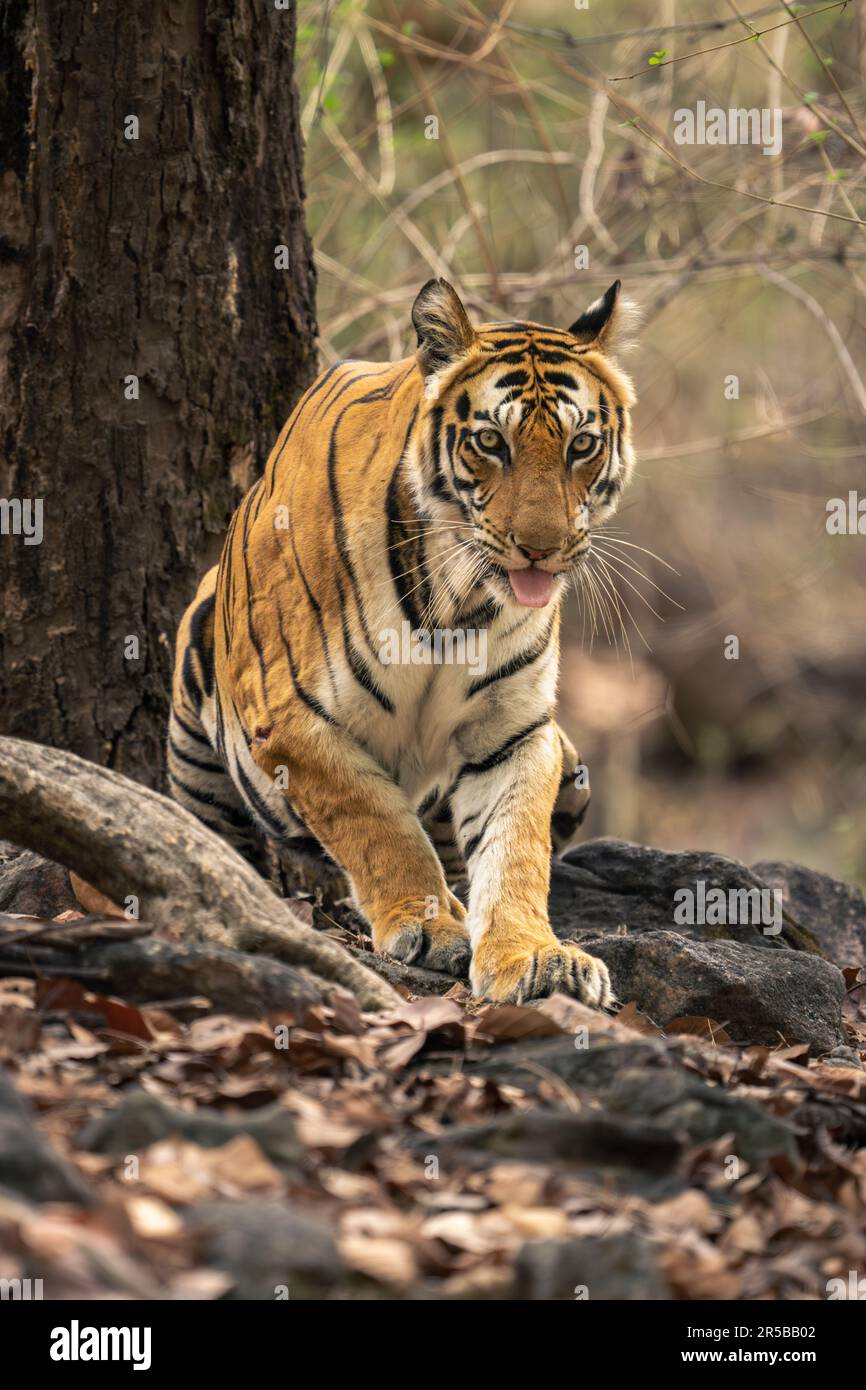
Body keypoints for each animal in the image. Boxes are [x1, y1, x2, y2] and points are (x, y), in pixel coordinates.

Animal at [169, 277, 637, 1007]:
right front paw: (429, 927)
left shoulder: (513, 732)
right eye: (490, 441)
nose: (542, 548)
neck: (458, 599)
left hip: (572, 764)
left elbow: (515, 849)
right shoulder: (291, 720)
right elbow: (378, 824)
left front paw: (534, 957)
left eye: (581, 445)